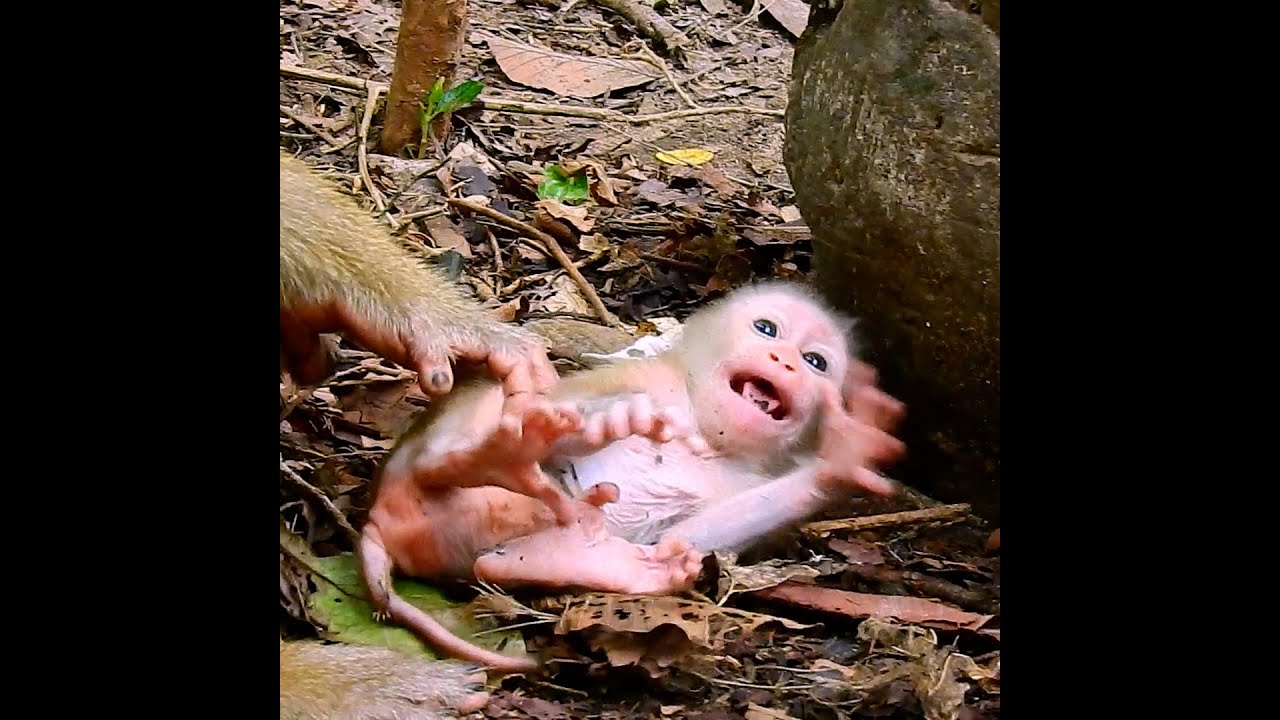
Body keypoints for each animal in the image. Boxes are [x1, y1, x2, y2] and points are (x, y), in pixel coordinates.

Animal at [357, 281, 907, 674]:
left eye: (815, 361)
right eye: (767, 329)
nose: (785, 362)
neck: (704, 425)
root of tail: (379, 520)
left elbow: (685, 537)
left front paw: (841, 459)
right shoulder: (635, 378)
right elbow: (558, 405)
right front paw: (610, 421)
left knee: (490, 561)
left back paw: (574, 558)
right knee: (487, 416)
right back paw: (484, 458)